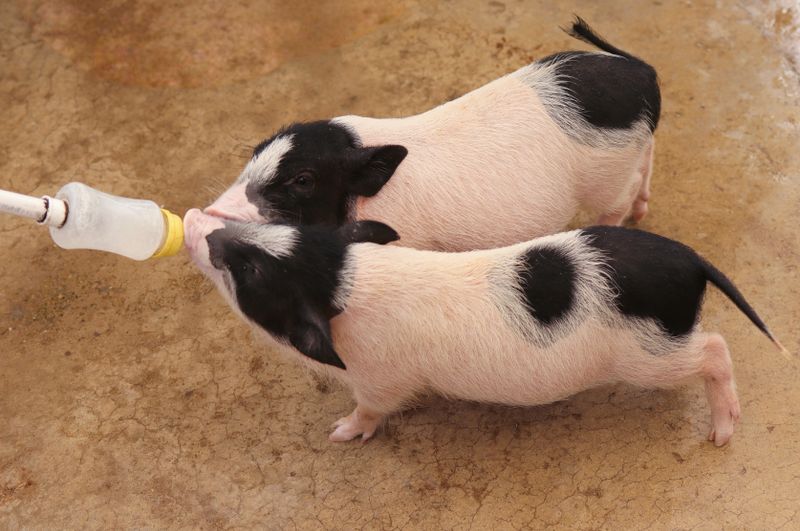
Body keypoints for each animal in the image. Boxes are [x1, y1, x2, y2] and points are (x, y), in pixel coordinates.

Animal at [184, 209, 788, 446]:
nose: (196, 222)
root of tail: (692, 261)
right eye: (285, 231)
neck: (344, 280)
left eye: (250, 271)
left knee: (716, 348)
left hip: (649, 353)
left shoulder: (380, 379)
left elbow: (370, 410)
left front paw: (338, 433)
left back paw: (721, 434)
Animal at [205, 18, 661, 251]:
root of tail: (643, 72)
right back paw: (643, 210)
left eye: (303, 180)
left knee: (618, 201)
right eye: (256, 151)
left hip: (609, 176)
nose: (211, 210)